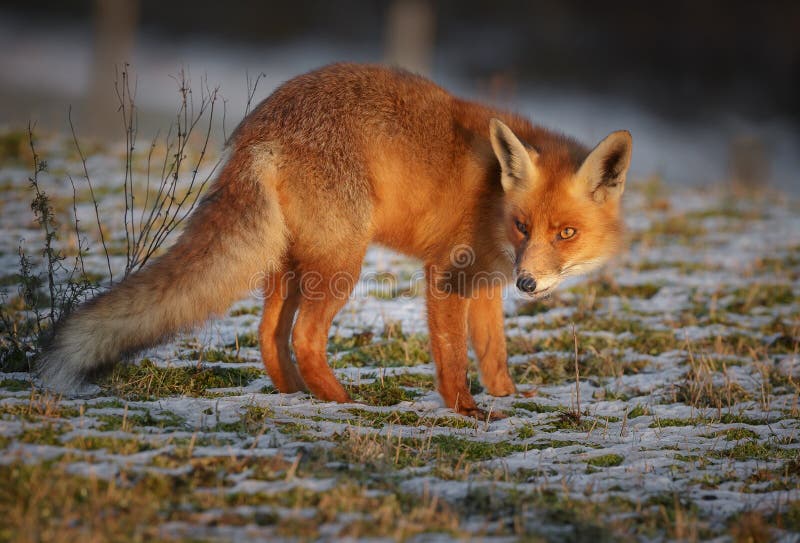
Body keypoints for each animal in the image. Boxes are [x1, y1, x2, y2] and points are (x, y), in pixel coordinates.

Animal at [36, 63, 632, 418]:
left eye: (566, 233)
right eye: (523, 226)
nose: (528, 282)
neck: (494, 198)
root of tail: (259, 128)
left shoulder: (483, 282)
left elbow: (493, 353)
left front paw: (508, 398)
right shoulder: (447, 275)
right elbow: (453, 358)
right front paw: (466, 412)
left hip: (291, 262)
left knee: (268, 334)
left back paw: (295, 394)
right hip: (343, 264)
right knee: (304, 337)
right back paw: (346, 402)